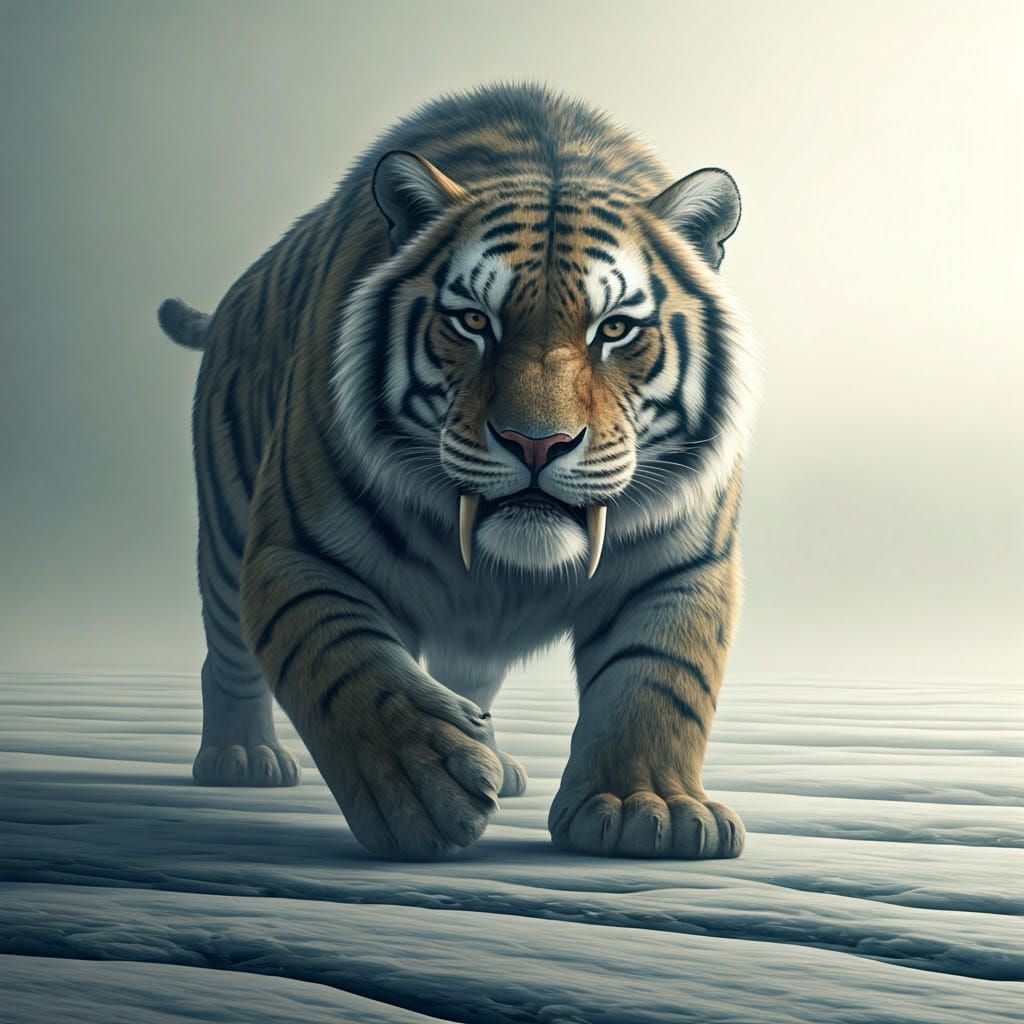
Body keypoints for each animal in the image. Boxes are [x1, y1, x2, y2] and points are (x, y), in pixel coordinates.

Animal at [158, 83, 759, 860]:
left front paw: (641, 807)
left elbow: (658, 679)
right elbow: (342, 658)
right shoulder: (293, 550)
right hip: (228, 522)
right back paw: (240, 759)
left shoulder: (682, 563)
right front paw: (421, 788)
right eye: (474, 321)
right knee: (226, 654)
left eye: (615, 330)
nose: (537, 443)